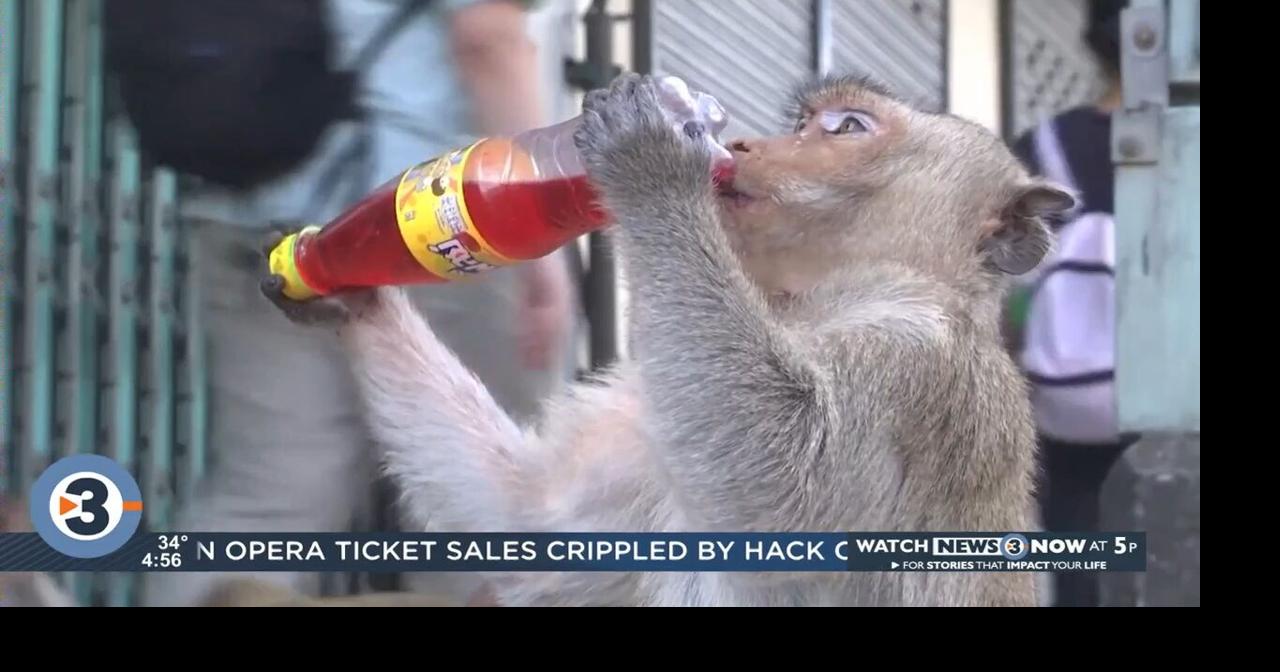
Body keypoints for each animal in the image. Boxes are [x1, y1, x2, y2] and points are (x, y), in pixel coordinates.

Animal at [261, 72, 1075, 607]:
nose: (737, 141)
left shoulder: (920, 372)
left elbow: (785, 490)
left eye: (846, 129)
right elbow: (531, 518)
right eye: (804, 124)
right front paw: (344, 283)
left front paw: (651, 156)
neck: (806, 303)